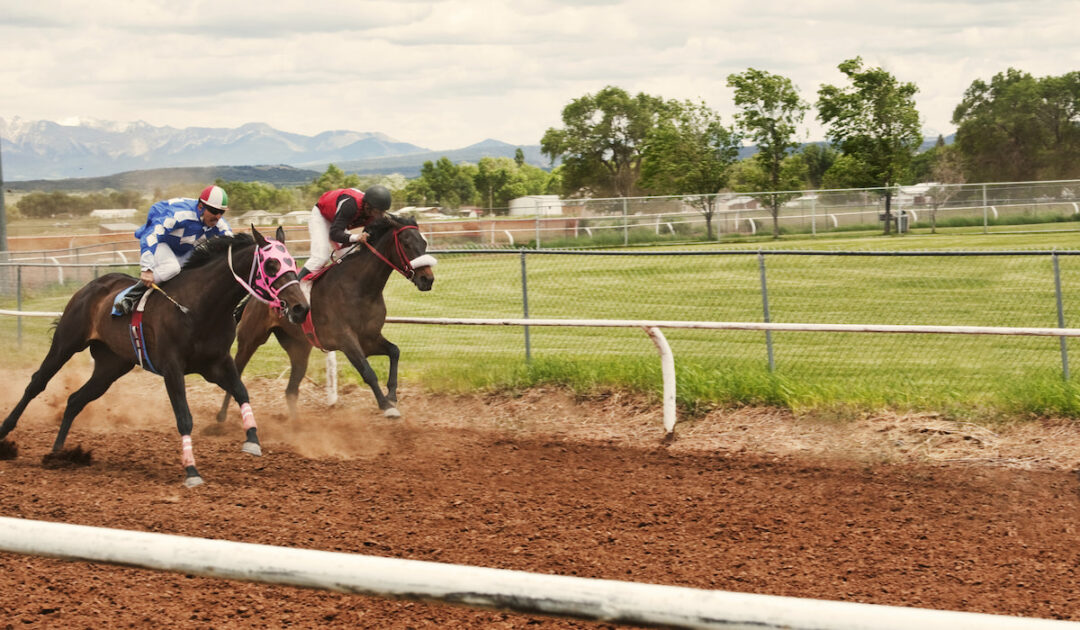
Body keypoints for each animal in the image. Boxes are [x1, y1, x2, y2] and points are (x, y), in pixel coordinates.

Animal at [0, 226, 310, 487]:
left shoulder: (217, 363)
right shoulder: (172, 368)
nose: (300, 308)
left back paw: (57, 453)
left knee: (76, 399)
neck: (199, 306)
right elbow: (184, 417)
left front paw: (253, 441)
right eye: (271, 265)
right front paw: (191, 471)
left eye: (291, 263)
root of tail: (92, 285)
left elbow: (242, 393)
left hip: (111, 365)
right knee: (36, 383)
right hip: (66, 342)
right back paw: (6, 433)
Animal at [217, 213, 436, 423]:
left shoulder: (369, 339)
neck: (361, 288)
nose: (428, 279)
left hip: (298, 348)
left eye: (424, 243)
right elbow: (368, 372)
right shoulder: (346, 339)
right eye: (406, 243)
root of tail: (255, 296)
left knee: (290, 390)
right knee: (237, 371)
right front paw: (387, 407)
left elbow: (394, 351)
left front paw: (391, 396)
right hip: (251, 339)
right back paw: (221, 417)